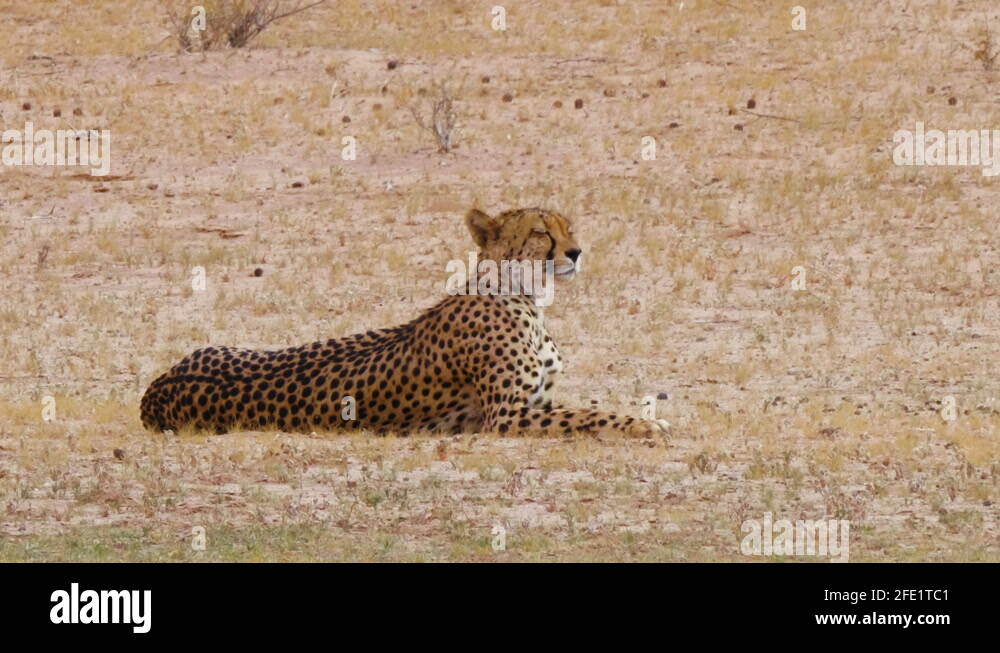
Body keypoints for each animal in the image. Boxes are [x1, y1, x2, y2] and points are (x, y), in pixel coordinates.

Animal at [140, 207, 670, 439]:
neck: (524, 297)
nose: (576, 252)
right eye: (542, 232)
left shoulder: (537, 402)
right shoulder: (506, 417)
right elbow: (591, 416)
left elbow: (588, 408)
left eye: (568, 227)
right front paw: (647, 425)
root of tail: (155, 391)